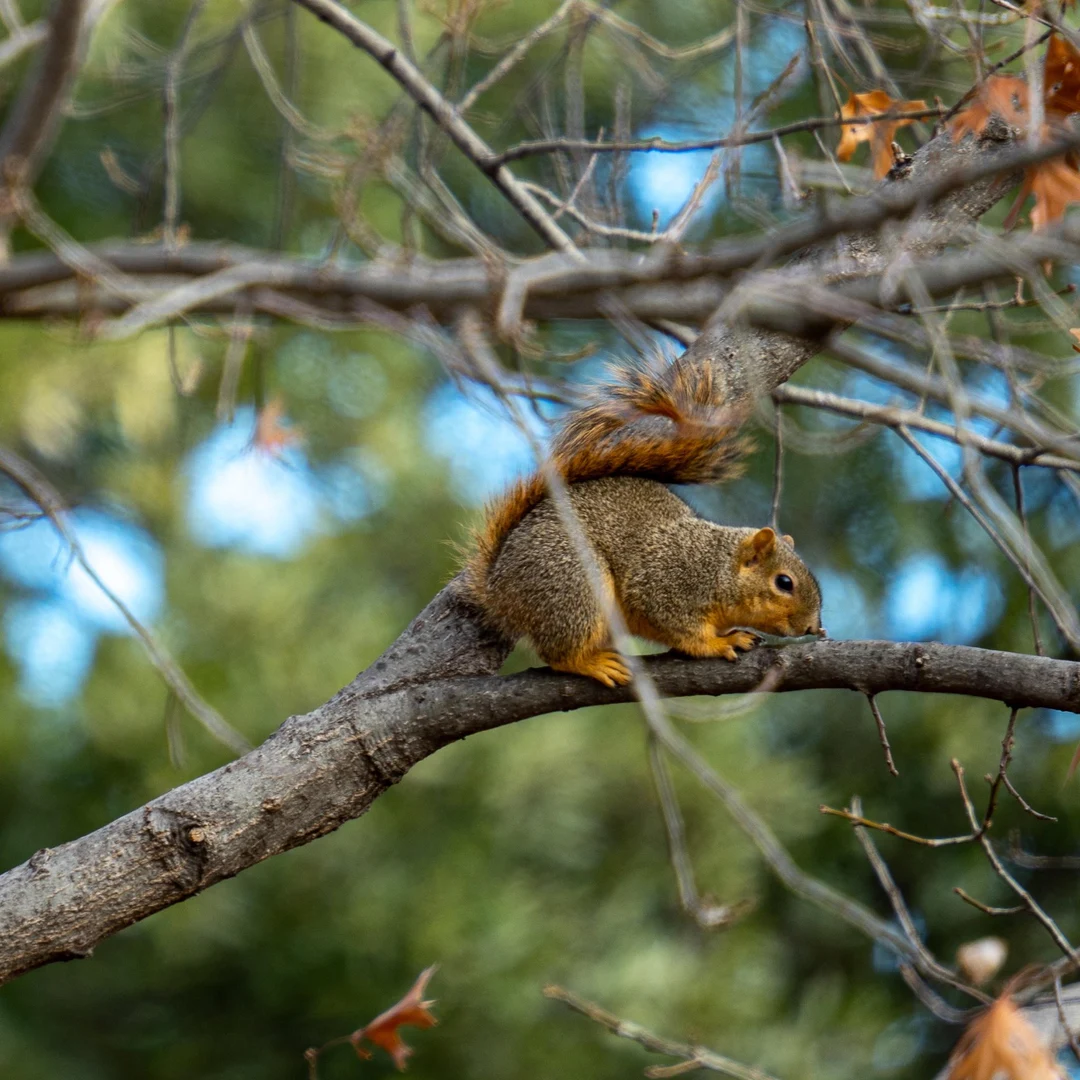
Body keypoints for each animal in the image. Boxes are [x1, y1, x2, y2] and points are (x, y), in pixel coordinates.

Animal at [461, 358, 823, 687]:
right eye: (784, 583)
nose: (813, 628)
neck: (718, 566)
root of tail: (497, 587)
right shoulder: (665, 587)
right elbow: (684, 632)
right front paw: (720, 642)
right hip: (572, 583)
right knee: (559, 653)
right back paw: (591, 663)